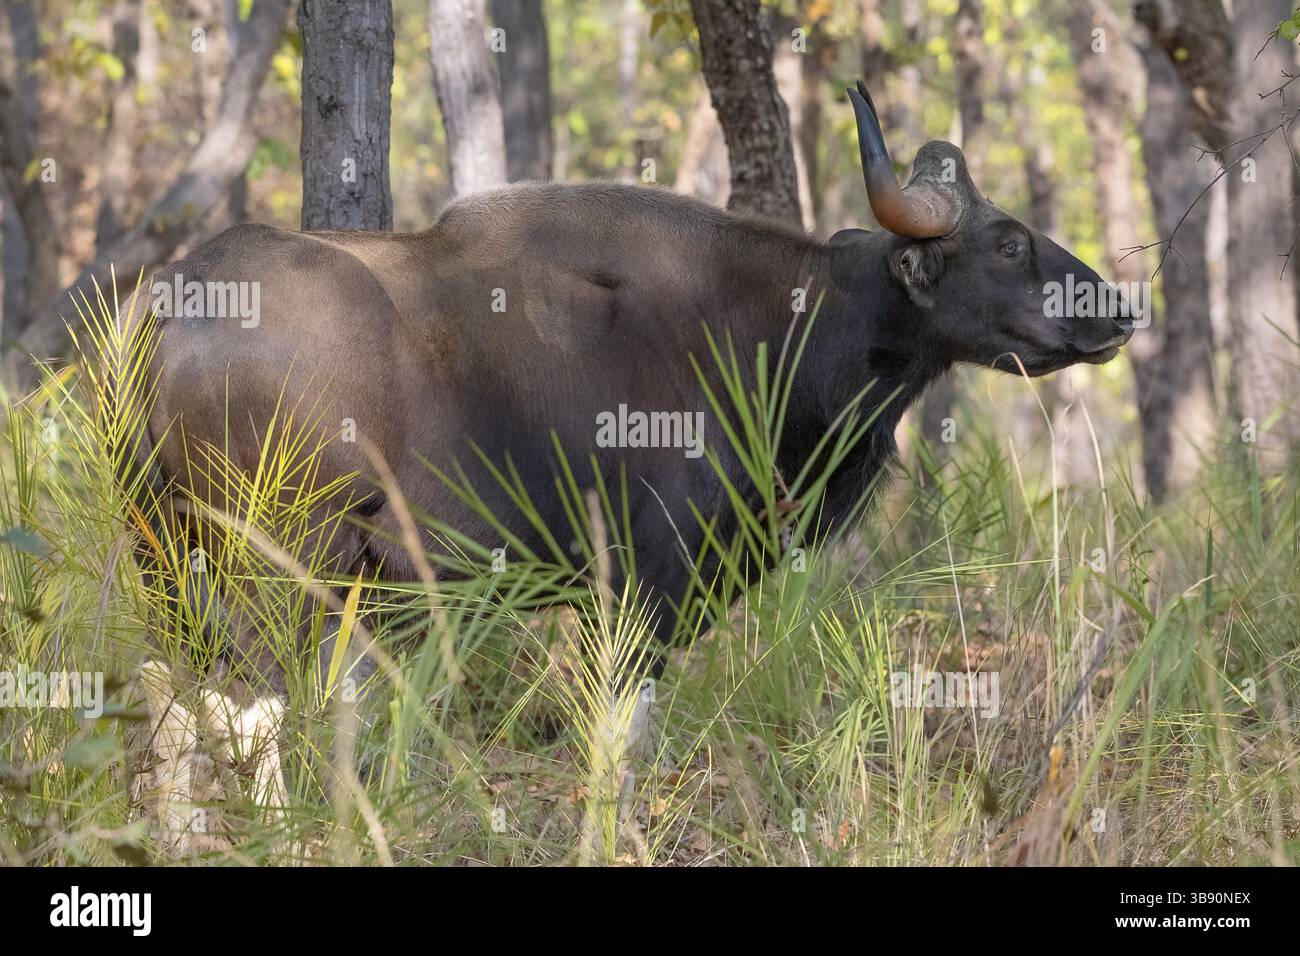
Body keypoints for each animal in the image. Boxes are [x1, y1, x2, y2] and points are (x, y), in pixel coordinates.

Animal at [118, 82, 1133, 852]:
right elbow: (619, 747)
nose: (1119, 310)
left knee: (173, 697)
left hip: (165, 560)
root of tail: (168, 314)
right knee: (252, 709)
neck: (761, 336)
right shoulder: (643, 586)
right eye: (1009, 241)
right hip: (277, 564)